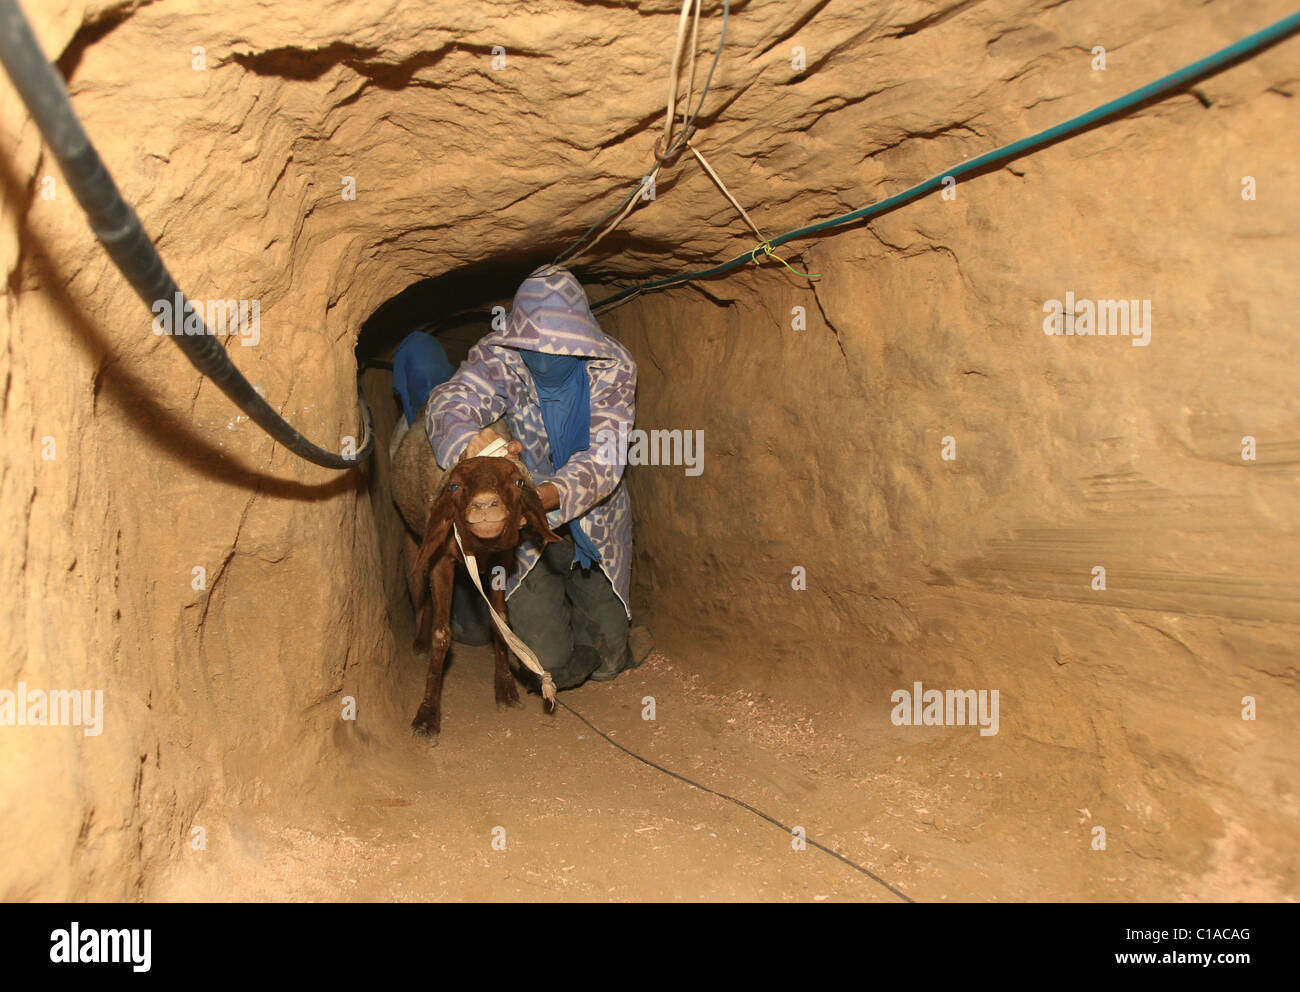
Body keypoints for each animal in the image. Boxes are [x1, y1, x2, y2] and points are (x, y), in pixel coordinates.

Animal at [405, 453, 560, 738]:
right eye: (454, 486)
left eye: (518, 482)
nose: (485, 504)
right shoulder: (440, 558)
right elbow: (441, 634)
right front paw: (427, 715)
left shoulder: (503, 557)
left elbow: (500, 621)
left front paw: (506, 690)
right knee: (419, 588)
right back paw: (420, 642)